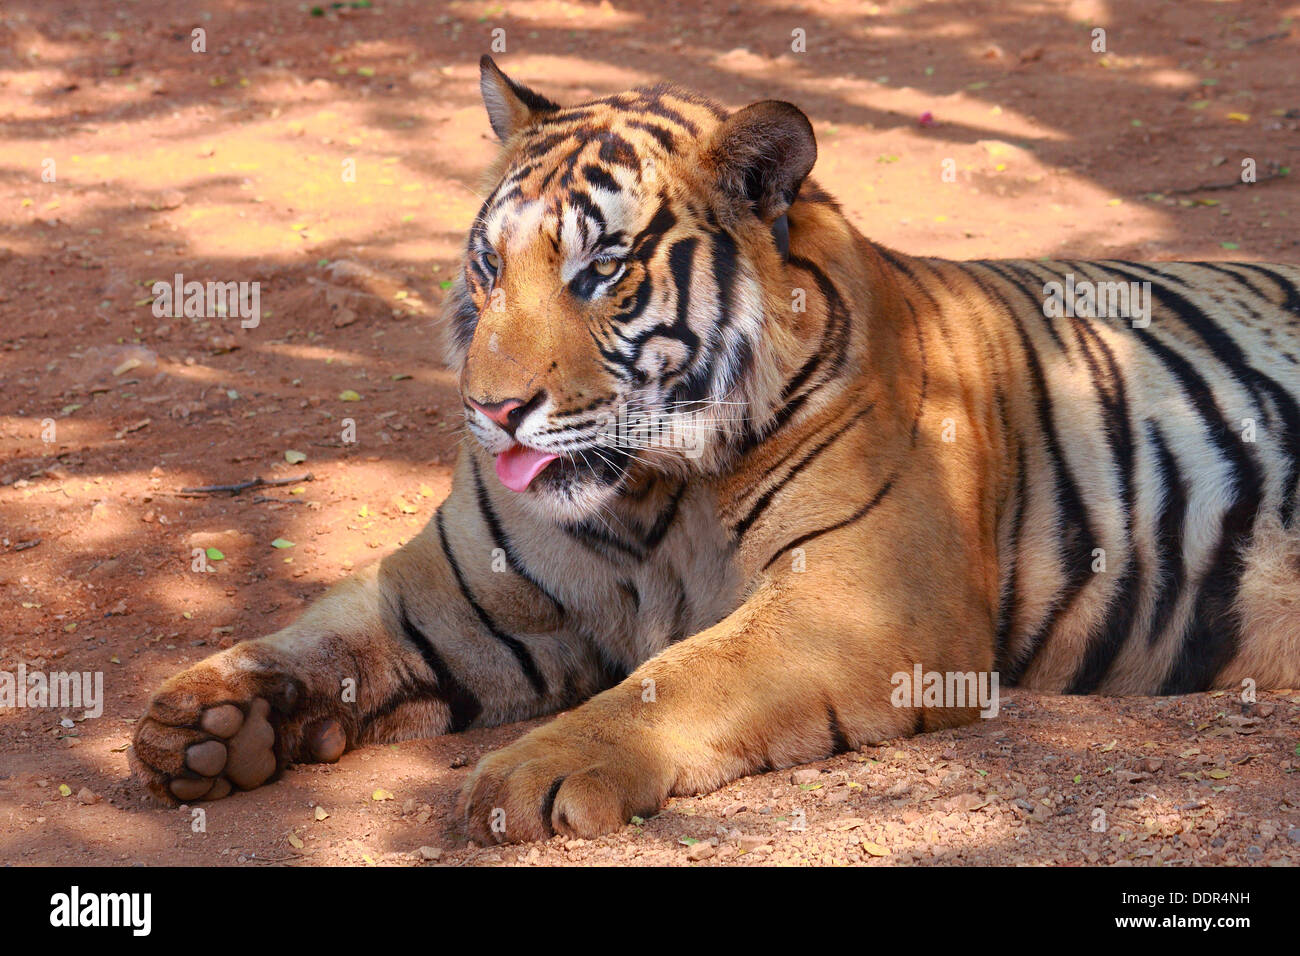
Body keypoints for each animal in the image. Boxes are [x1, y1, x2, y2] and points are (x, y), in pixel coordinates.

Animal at [130, 56, 1300, 843]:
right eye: (488, 266)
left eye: (600, 270)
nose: (492, 409)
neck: (646, 498)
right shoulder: (461, 602)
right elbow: (325, 633)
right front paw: (201, 723)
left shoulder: (861, 598)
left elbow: (680, 677)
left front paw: (529, 777)